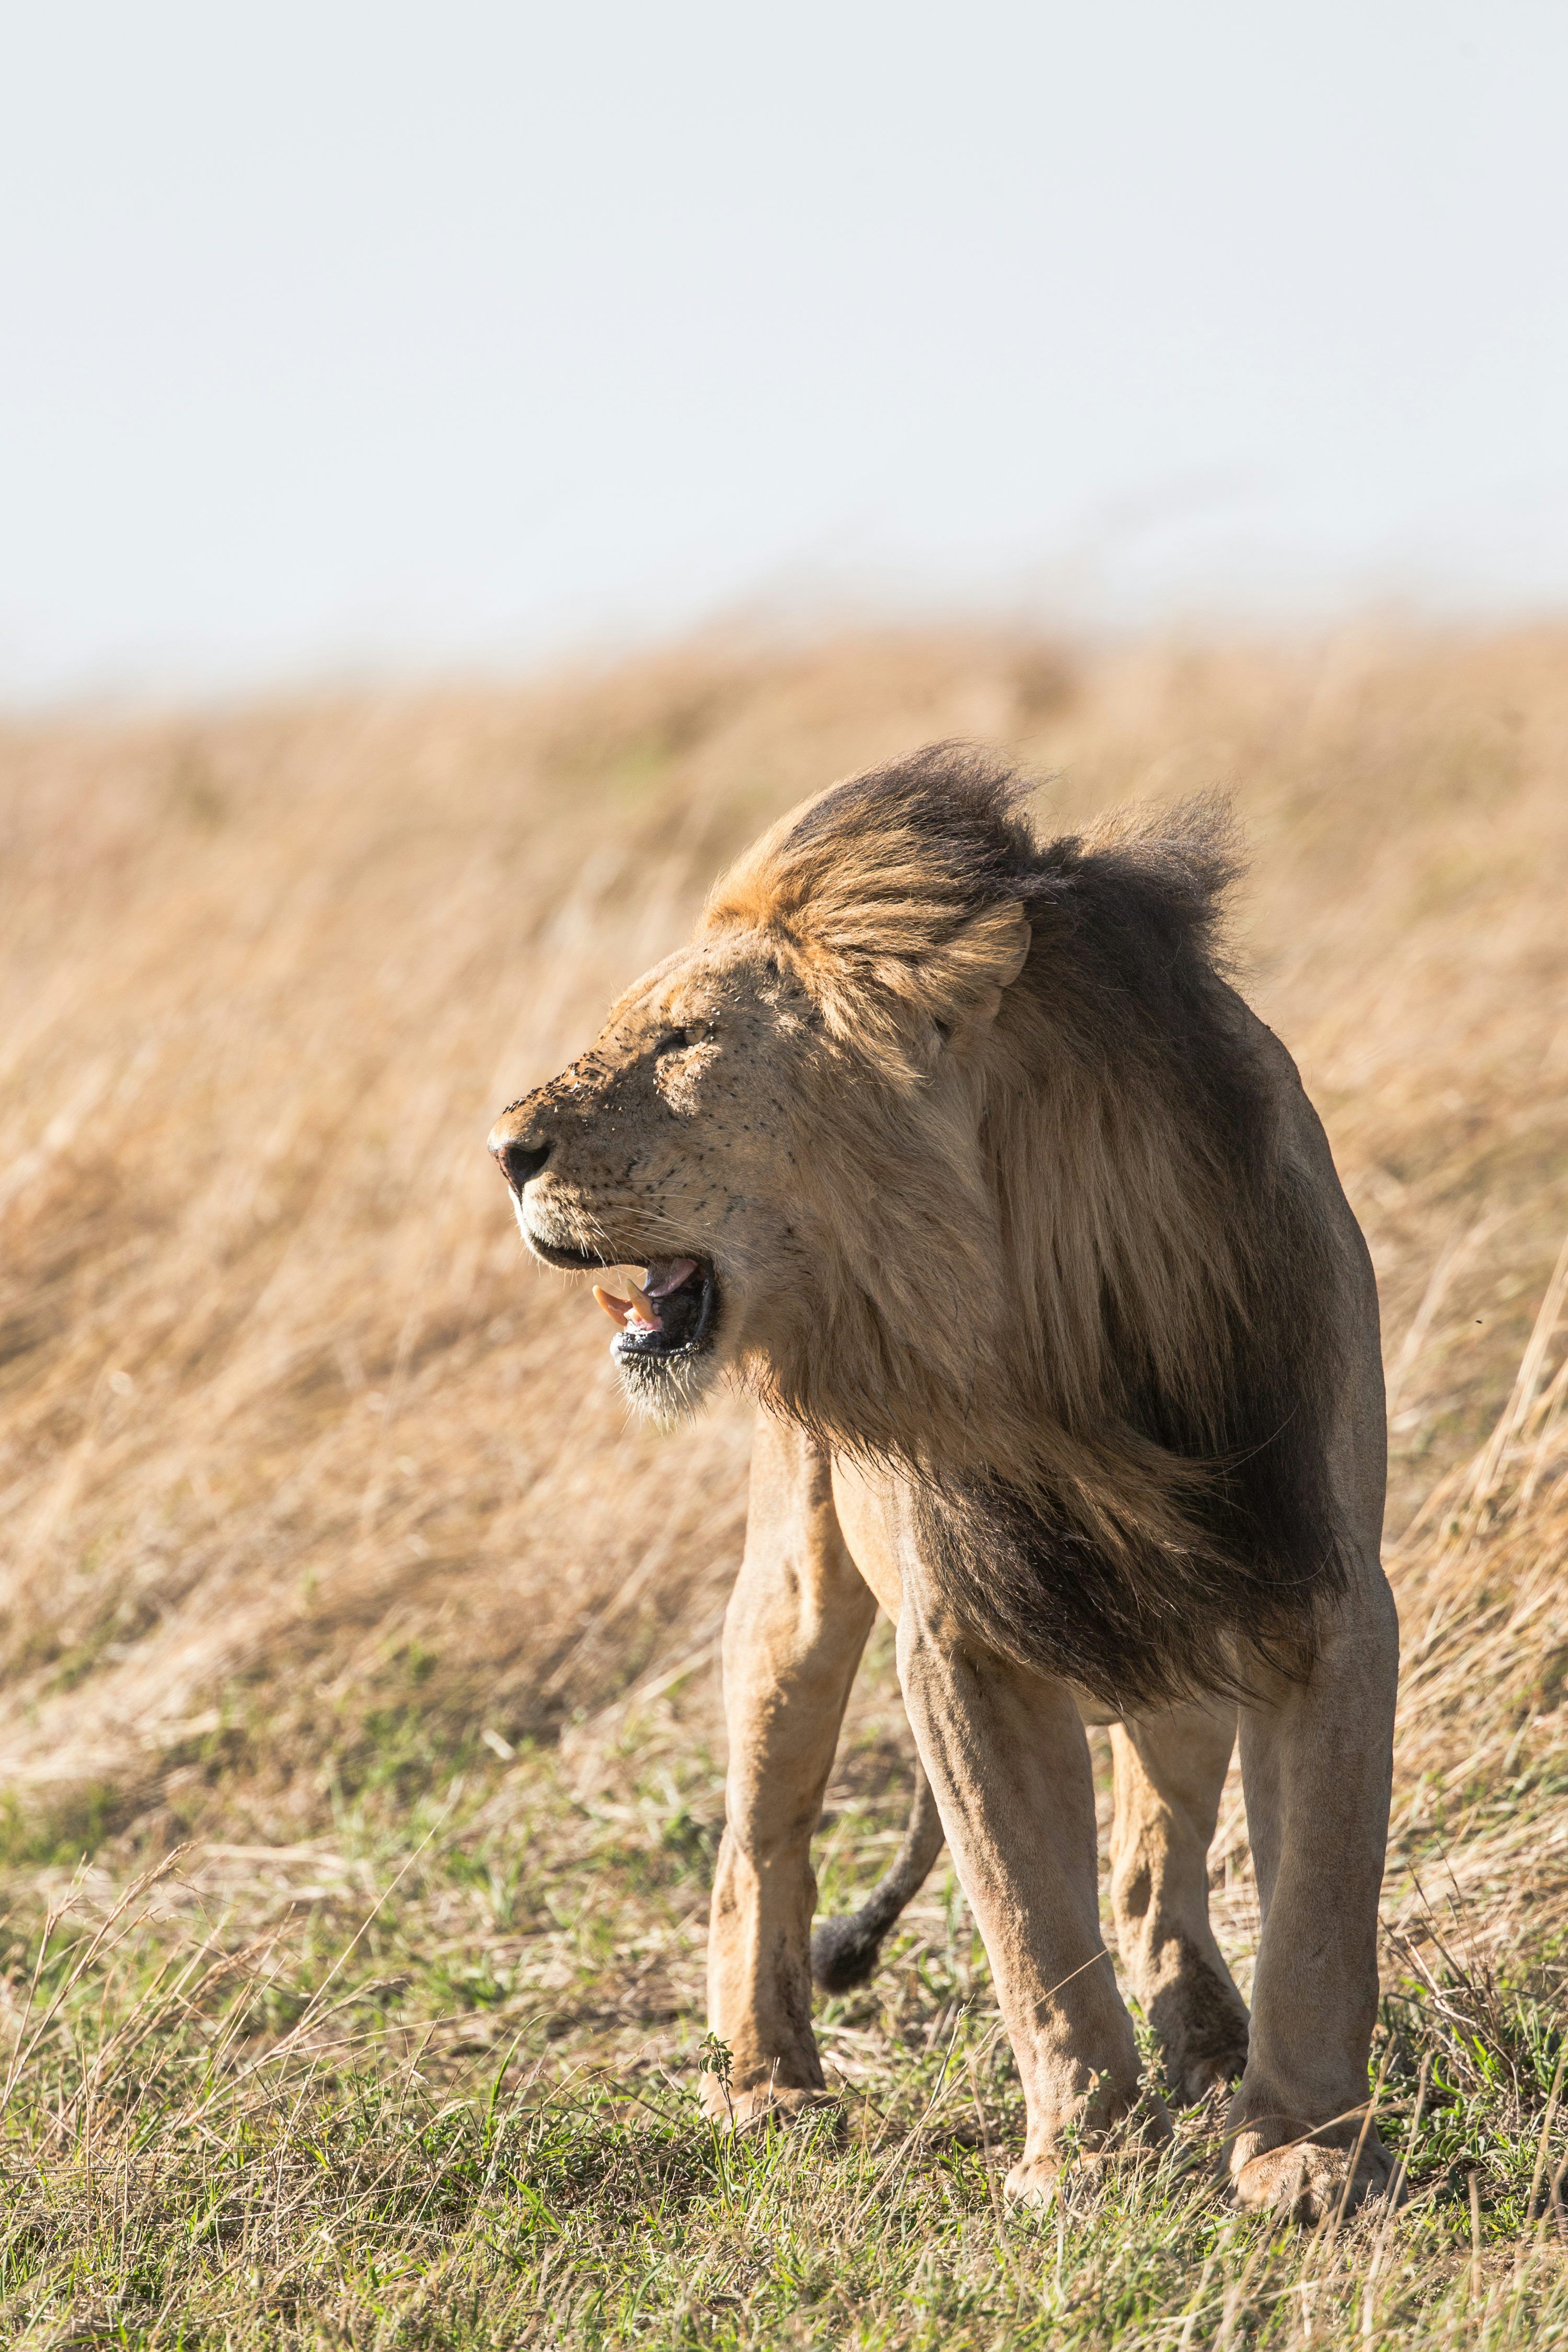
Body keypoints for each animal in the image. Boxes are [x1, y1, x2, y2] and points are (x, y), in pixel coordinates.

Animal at [488, 748, 1399, 2219]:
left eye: (683, 1041)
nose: (500, 1150)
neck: (1042, 1329)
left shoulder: (1312, 1588)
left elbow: (1318, 1904)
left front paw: (1304, 2152)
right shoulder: (962, 1635)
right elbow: (1029, 1918)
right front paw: (1083, 2158)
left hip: (1181, 1640)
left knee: (1151, 1860)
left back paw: (1206, 2032)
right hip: (797, 1590)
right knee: (759, 1840)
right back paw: (769, 2082)